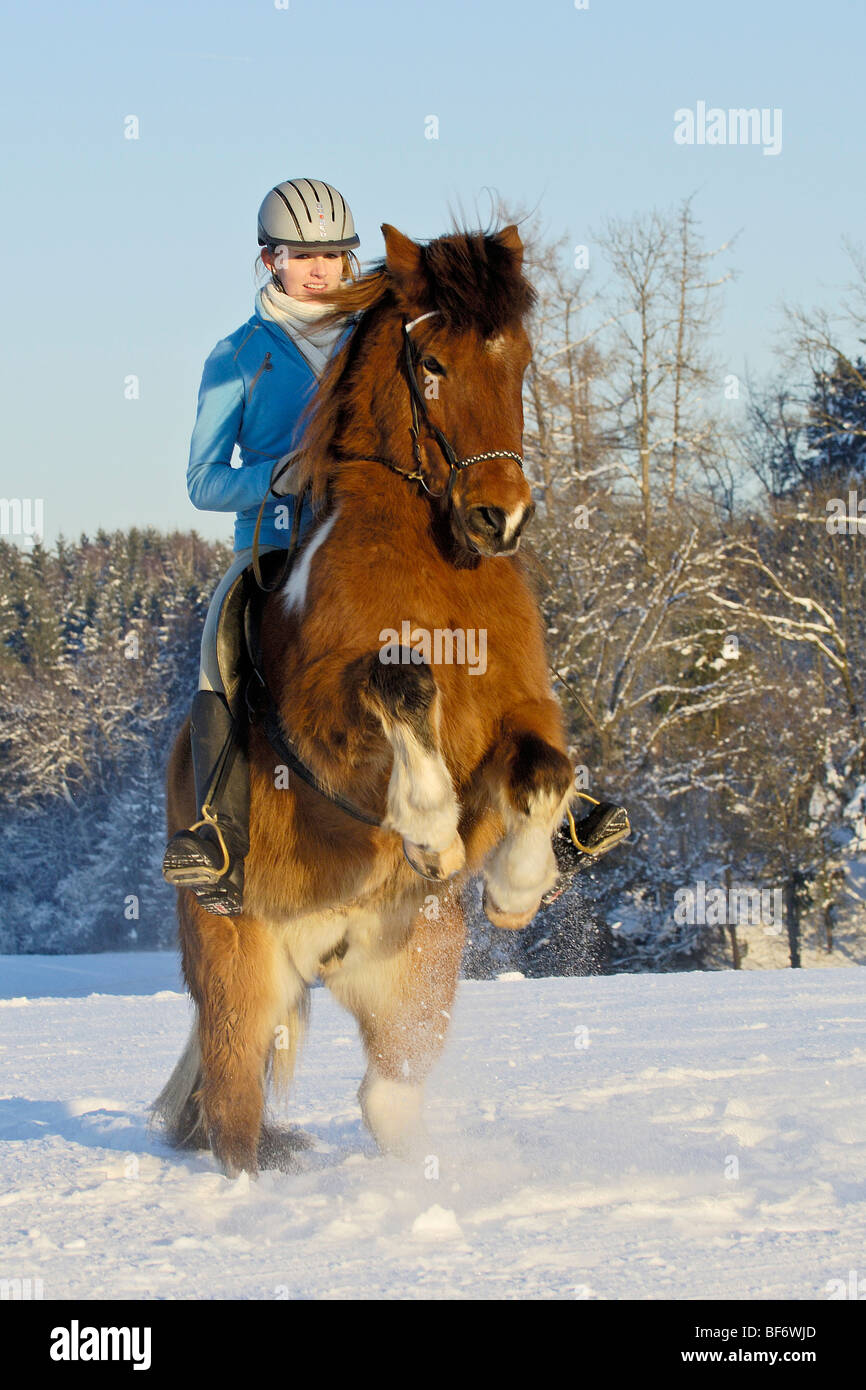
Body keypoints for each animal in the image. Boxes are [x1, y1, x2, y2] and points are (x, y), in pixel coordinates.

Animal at [154, 222, 576, 1177]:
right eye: (433, 363)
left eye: (519, 357)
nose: (501, 520)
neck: (434, 560)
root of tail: (326, 954)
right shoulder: (323, 731)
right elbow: (400, 680)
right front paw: (430, 829)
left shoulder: (523, 709)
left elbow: (546, 767)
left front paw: (517, 886)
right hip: (238, 978)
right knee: (233, 1117)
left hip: (415, 974)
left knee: (386, 1098)